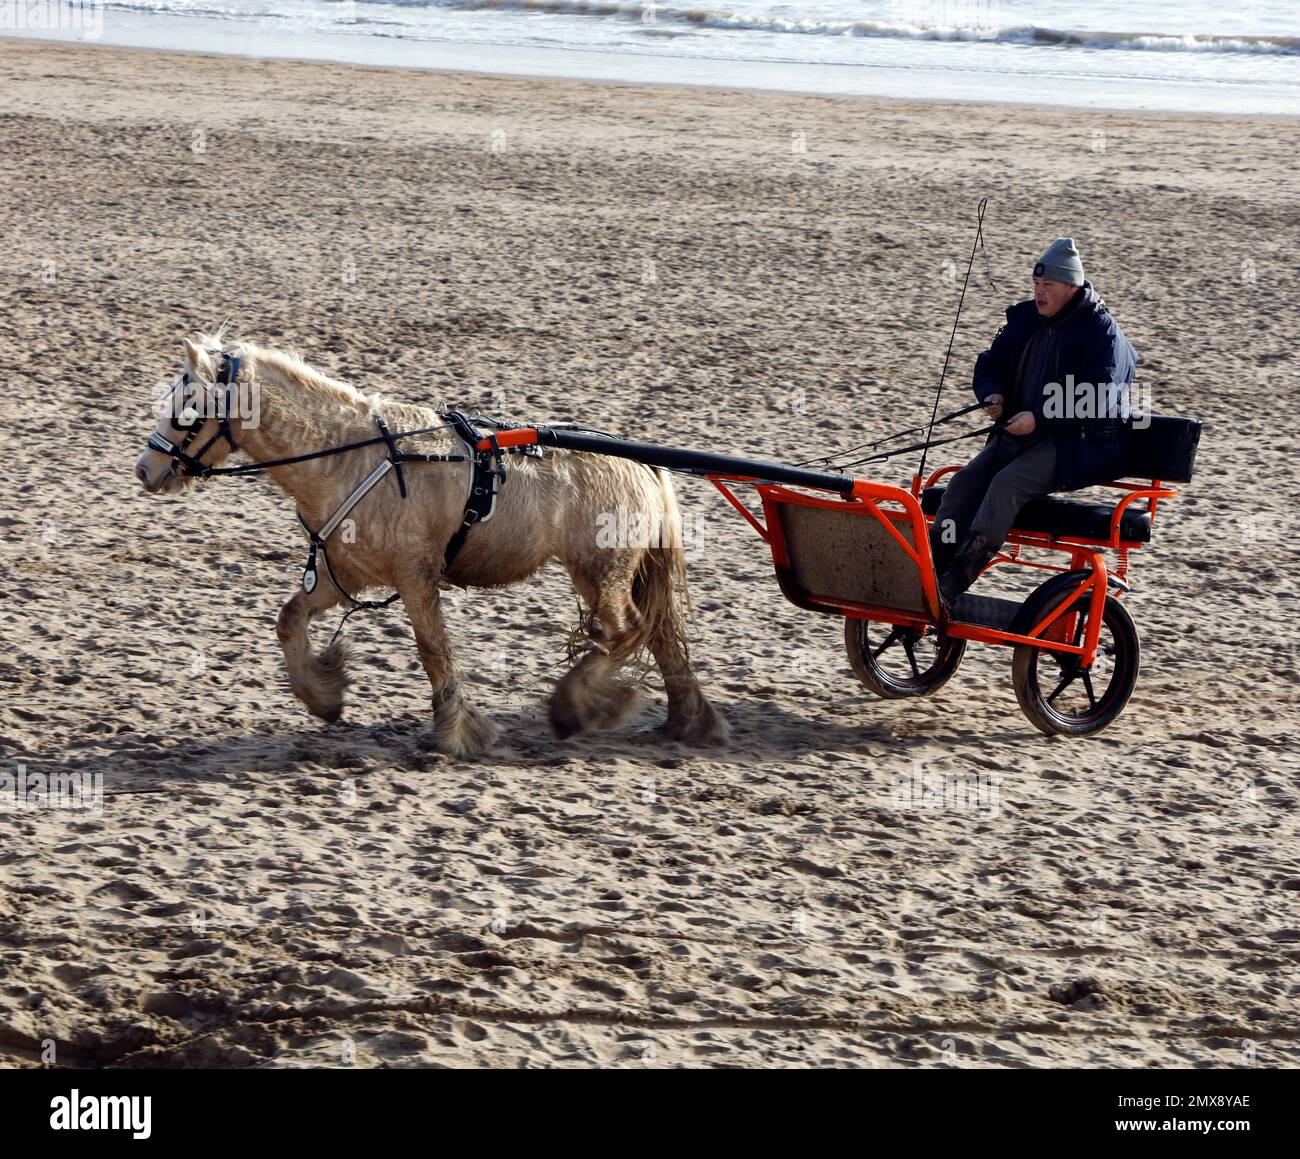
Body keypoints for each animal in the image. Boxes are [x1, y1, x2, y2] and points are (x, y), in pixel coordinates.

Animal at [134, 332, 728, 758]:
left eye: (187, 407)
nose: (146, 469)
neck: (354, 455)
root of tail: (643, 465)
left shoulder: (415, 576)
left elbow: (432, 651)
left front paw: (456, 733)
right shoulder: (345, 573)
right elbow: (289, 620)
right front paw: (323, 696)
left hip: (600, 572)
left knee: (629, 632)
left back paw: (576, 706)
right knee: (661, 638)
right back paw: (689, 721)